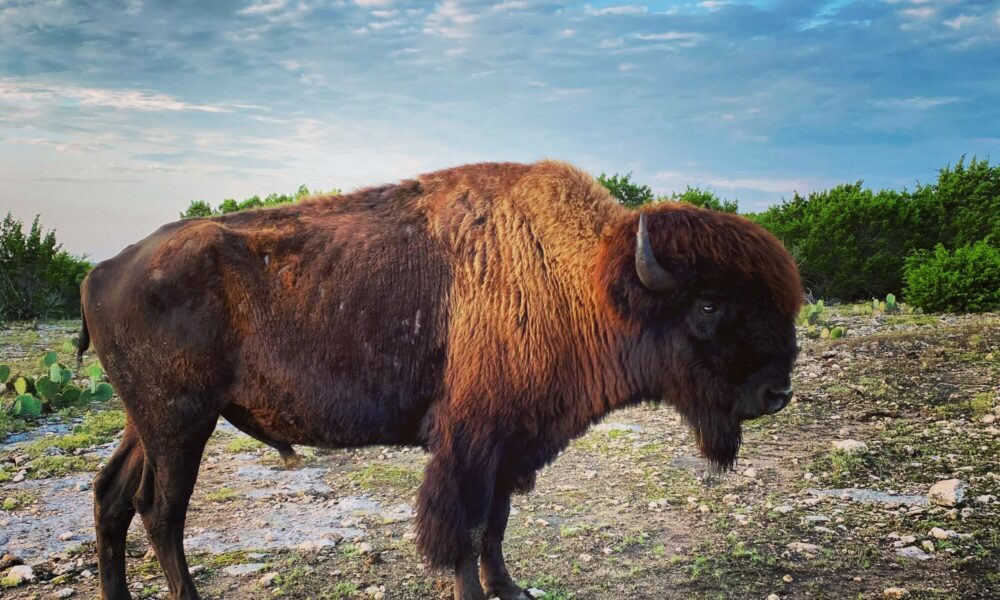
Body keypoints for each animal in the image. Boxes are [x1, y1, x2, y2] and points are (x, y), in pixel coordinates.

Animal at [79, 161, 801, 600]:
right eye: (708, 305)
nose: (777, 393)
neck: (585, 278)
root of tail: (104, 270)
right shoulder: (469, 442)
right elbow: (462, 526)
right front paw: (476, 591)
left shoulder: (512, 443)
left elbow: (496, 524)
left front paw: (511, 588)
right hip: (181, 421)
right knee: (160, 510)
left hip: (145, 421)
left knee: (112, 495)